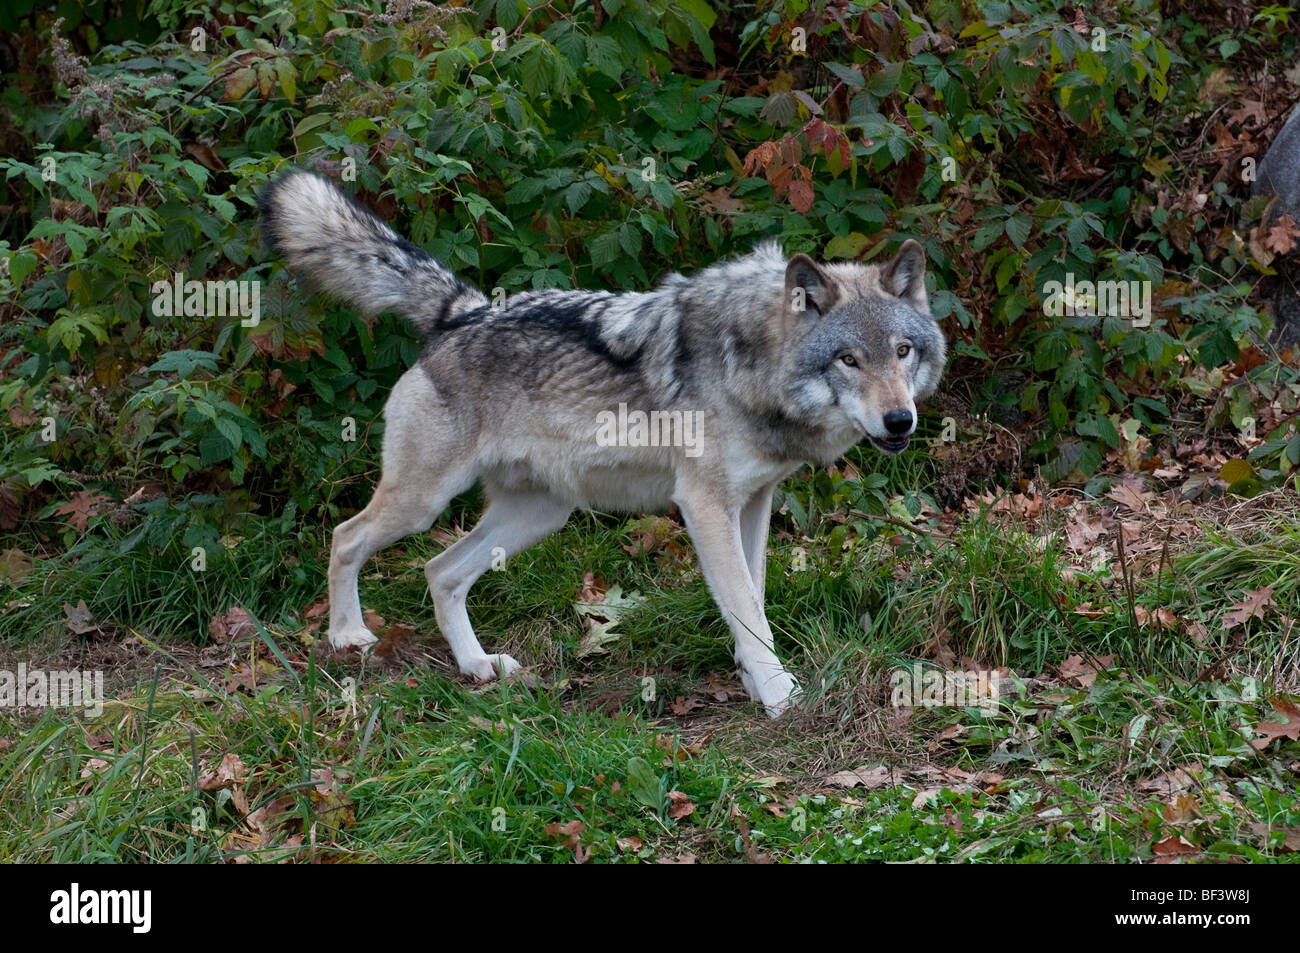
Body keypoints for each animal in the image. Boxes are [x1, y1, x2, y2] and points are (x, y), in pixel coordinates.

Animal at [259, 170, 946, 717]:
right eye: (848, 360)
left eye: (902, 352)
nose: (899, 421)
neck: (753, 363)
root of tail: (462, 312)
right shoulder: (705, 507)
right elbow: (748, 612)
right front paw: (781, 697)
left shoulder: (753, 505)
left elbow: (751, 601)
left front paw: (756, 683)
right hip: (422, 504)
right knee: (346, 537)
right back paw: (347, 636)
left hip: (538, 516)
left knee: (439, 571)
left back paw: (477, 667)